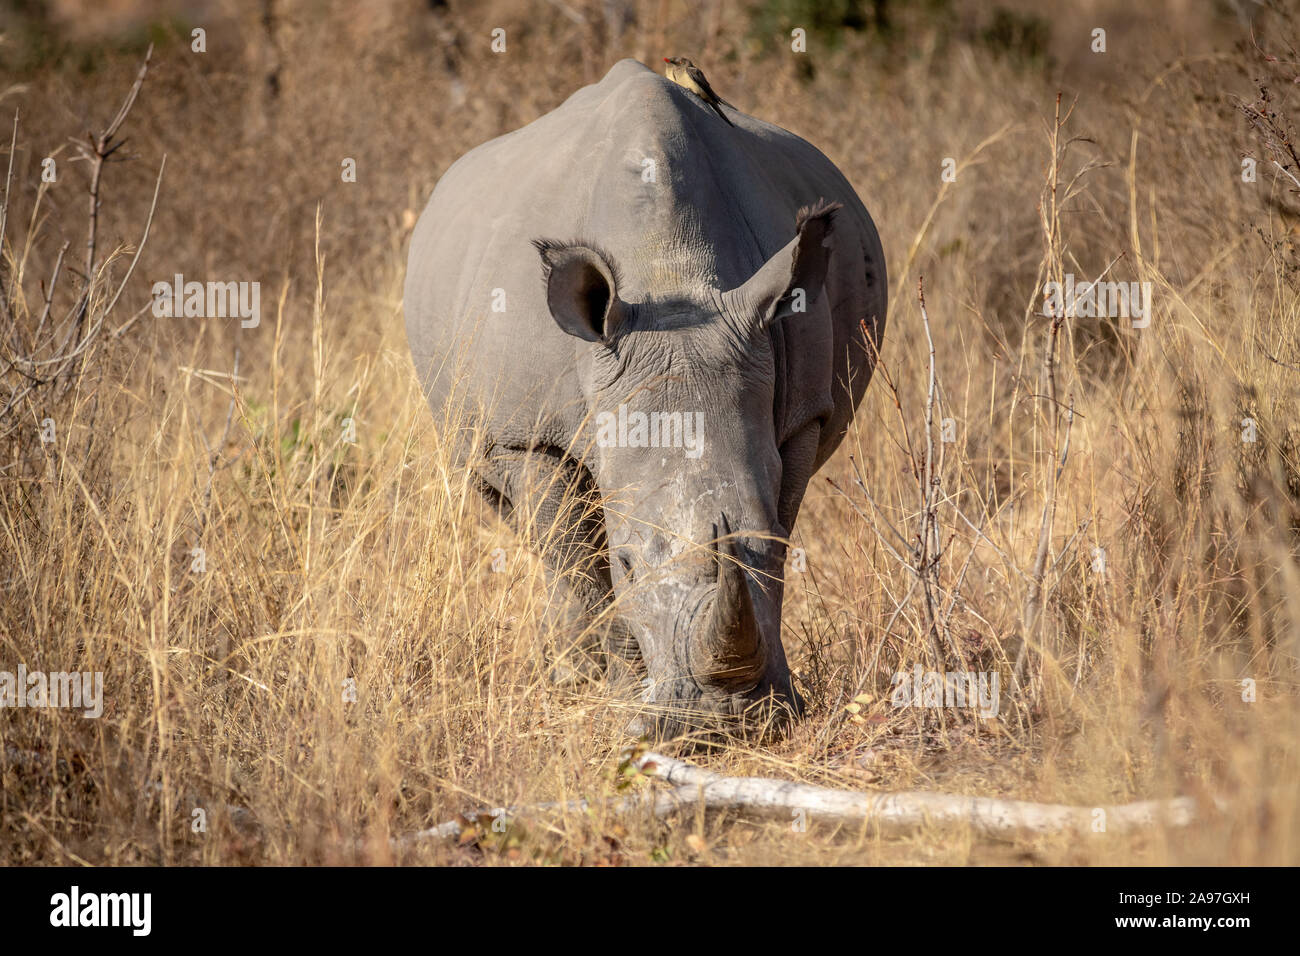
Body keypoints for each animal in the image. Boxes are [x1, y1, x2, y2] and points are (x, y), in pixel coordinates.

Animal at [405, 59, 887, 739]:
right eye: (630, 561)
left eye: (766, 546)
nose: (716, 723)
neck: (668, 271)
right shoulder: (529, 434)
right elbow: (578, 561)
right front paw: (608, 693)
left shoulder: (801, 415)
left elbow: (781, 524)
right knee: (513, 512)